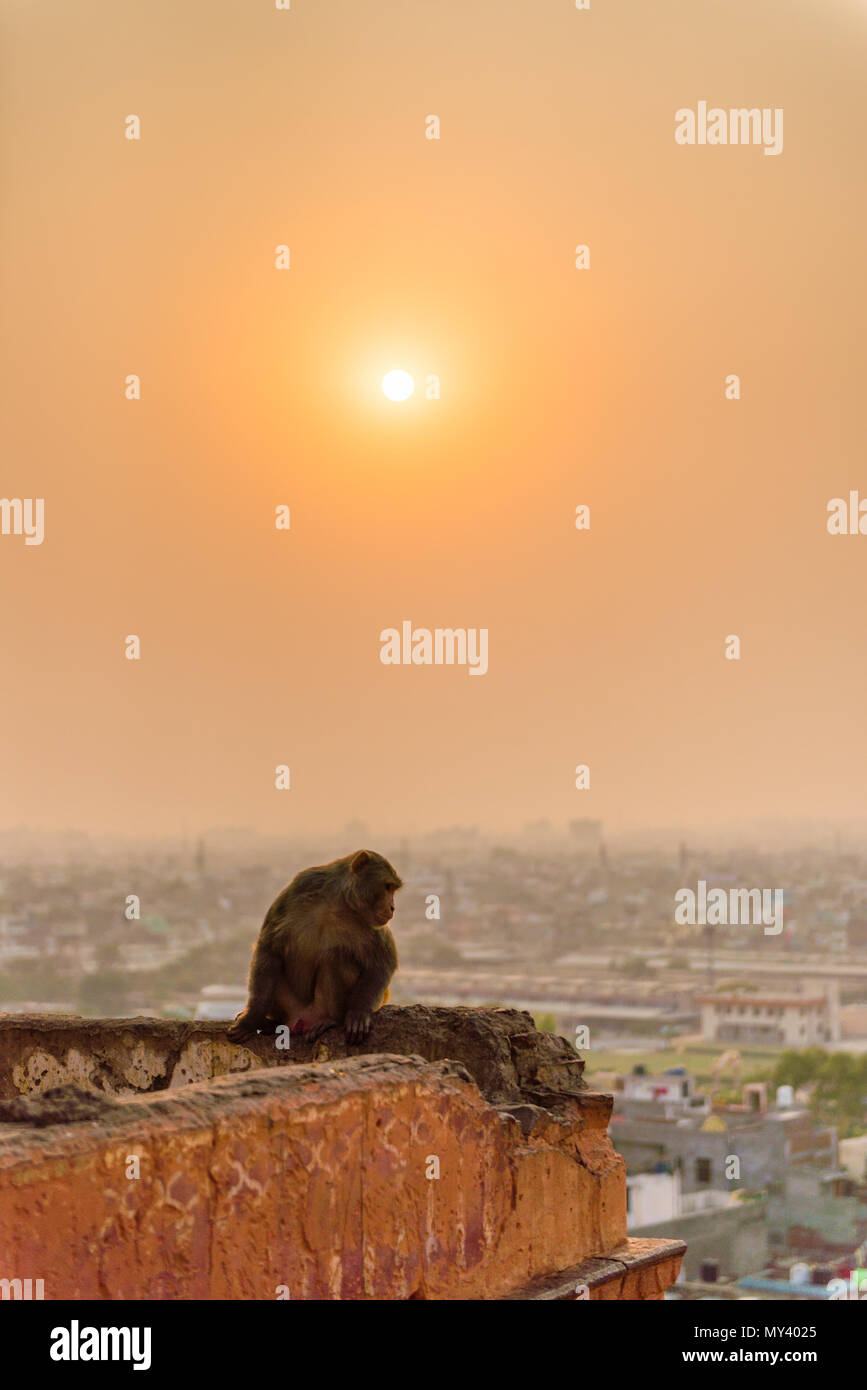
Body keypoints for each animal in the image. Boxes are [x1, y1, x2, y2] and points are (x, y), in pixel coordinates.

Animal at [227, 849, 401, 1045]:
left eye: (392, 888)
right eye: (387, 887)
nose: (392, 907)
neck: (337, 903)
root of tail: (300, 1020)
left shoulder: (371, 922)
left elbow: (380, 964)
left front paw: (358, 1013)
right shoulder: (299, 888)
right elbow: (270, 949)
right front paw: (251, 1019)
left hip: (319, 1007)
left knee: (336, 958)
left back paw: (331, 1020)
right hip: (287, 1006)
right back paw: (268, 1023)